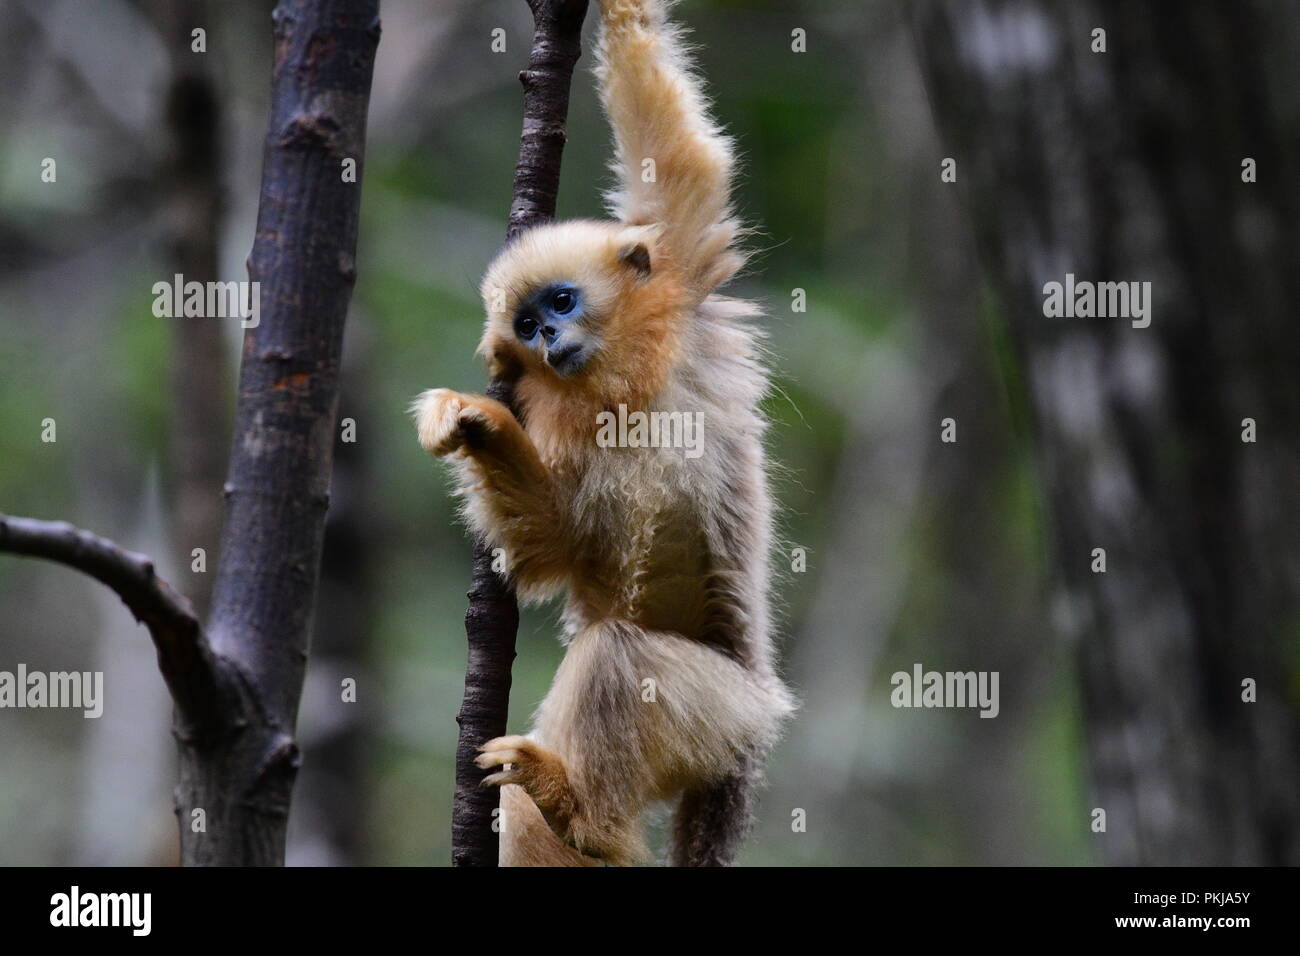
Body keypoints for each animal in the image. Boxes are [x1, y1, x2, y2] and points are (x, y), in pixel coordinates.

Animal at [413, 0, 794, 866]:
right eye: (526, 324)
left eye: (560, 302)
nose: (549, 339)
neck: (624, 379)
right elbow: (550, 543)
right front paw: (477, 425)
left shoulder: (686, 275)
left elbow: (678, 158)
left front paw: (617, 11)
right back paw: (575, 821)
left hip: (725, 711)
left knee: (618, 656)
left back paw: (584, 817)